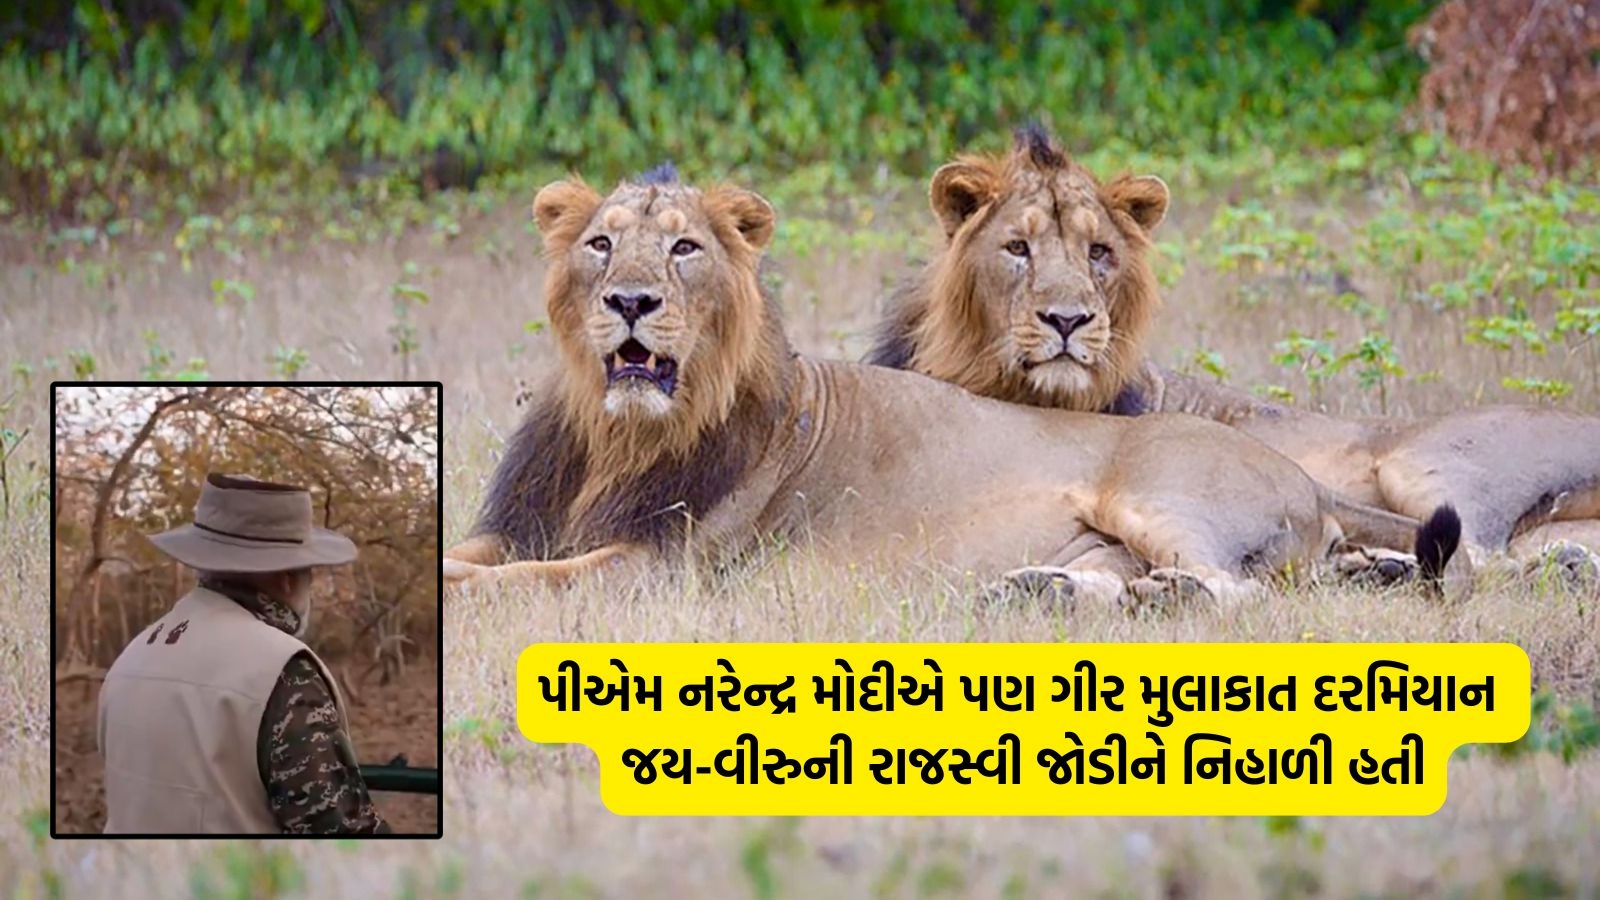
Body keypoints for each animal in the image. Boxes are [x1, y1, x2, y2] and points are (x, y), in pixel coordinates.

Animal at [442, 166, 1462, 611]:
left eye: (685, 248)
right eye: (600, 244)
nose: (630, 300)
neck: (623, 436)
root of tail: (1299, 475)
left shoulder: (664, 569)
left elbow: (530, 583)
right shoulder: (523, 521)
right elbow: (482, 555)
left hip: (1157, 496)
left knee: (1241, 595)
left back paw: (1165, 597)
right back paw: (1038, 592)